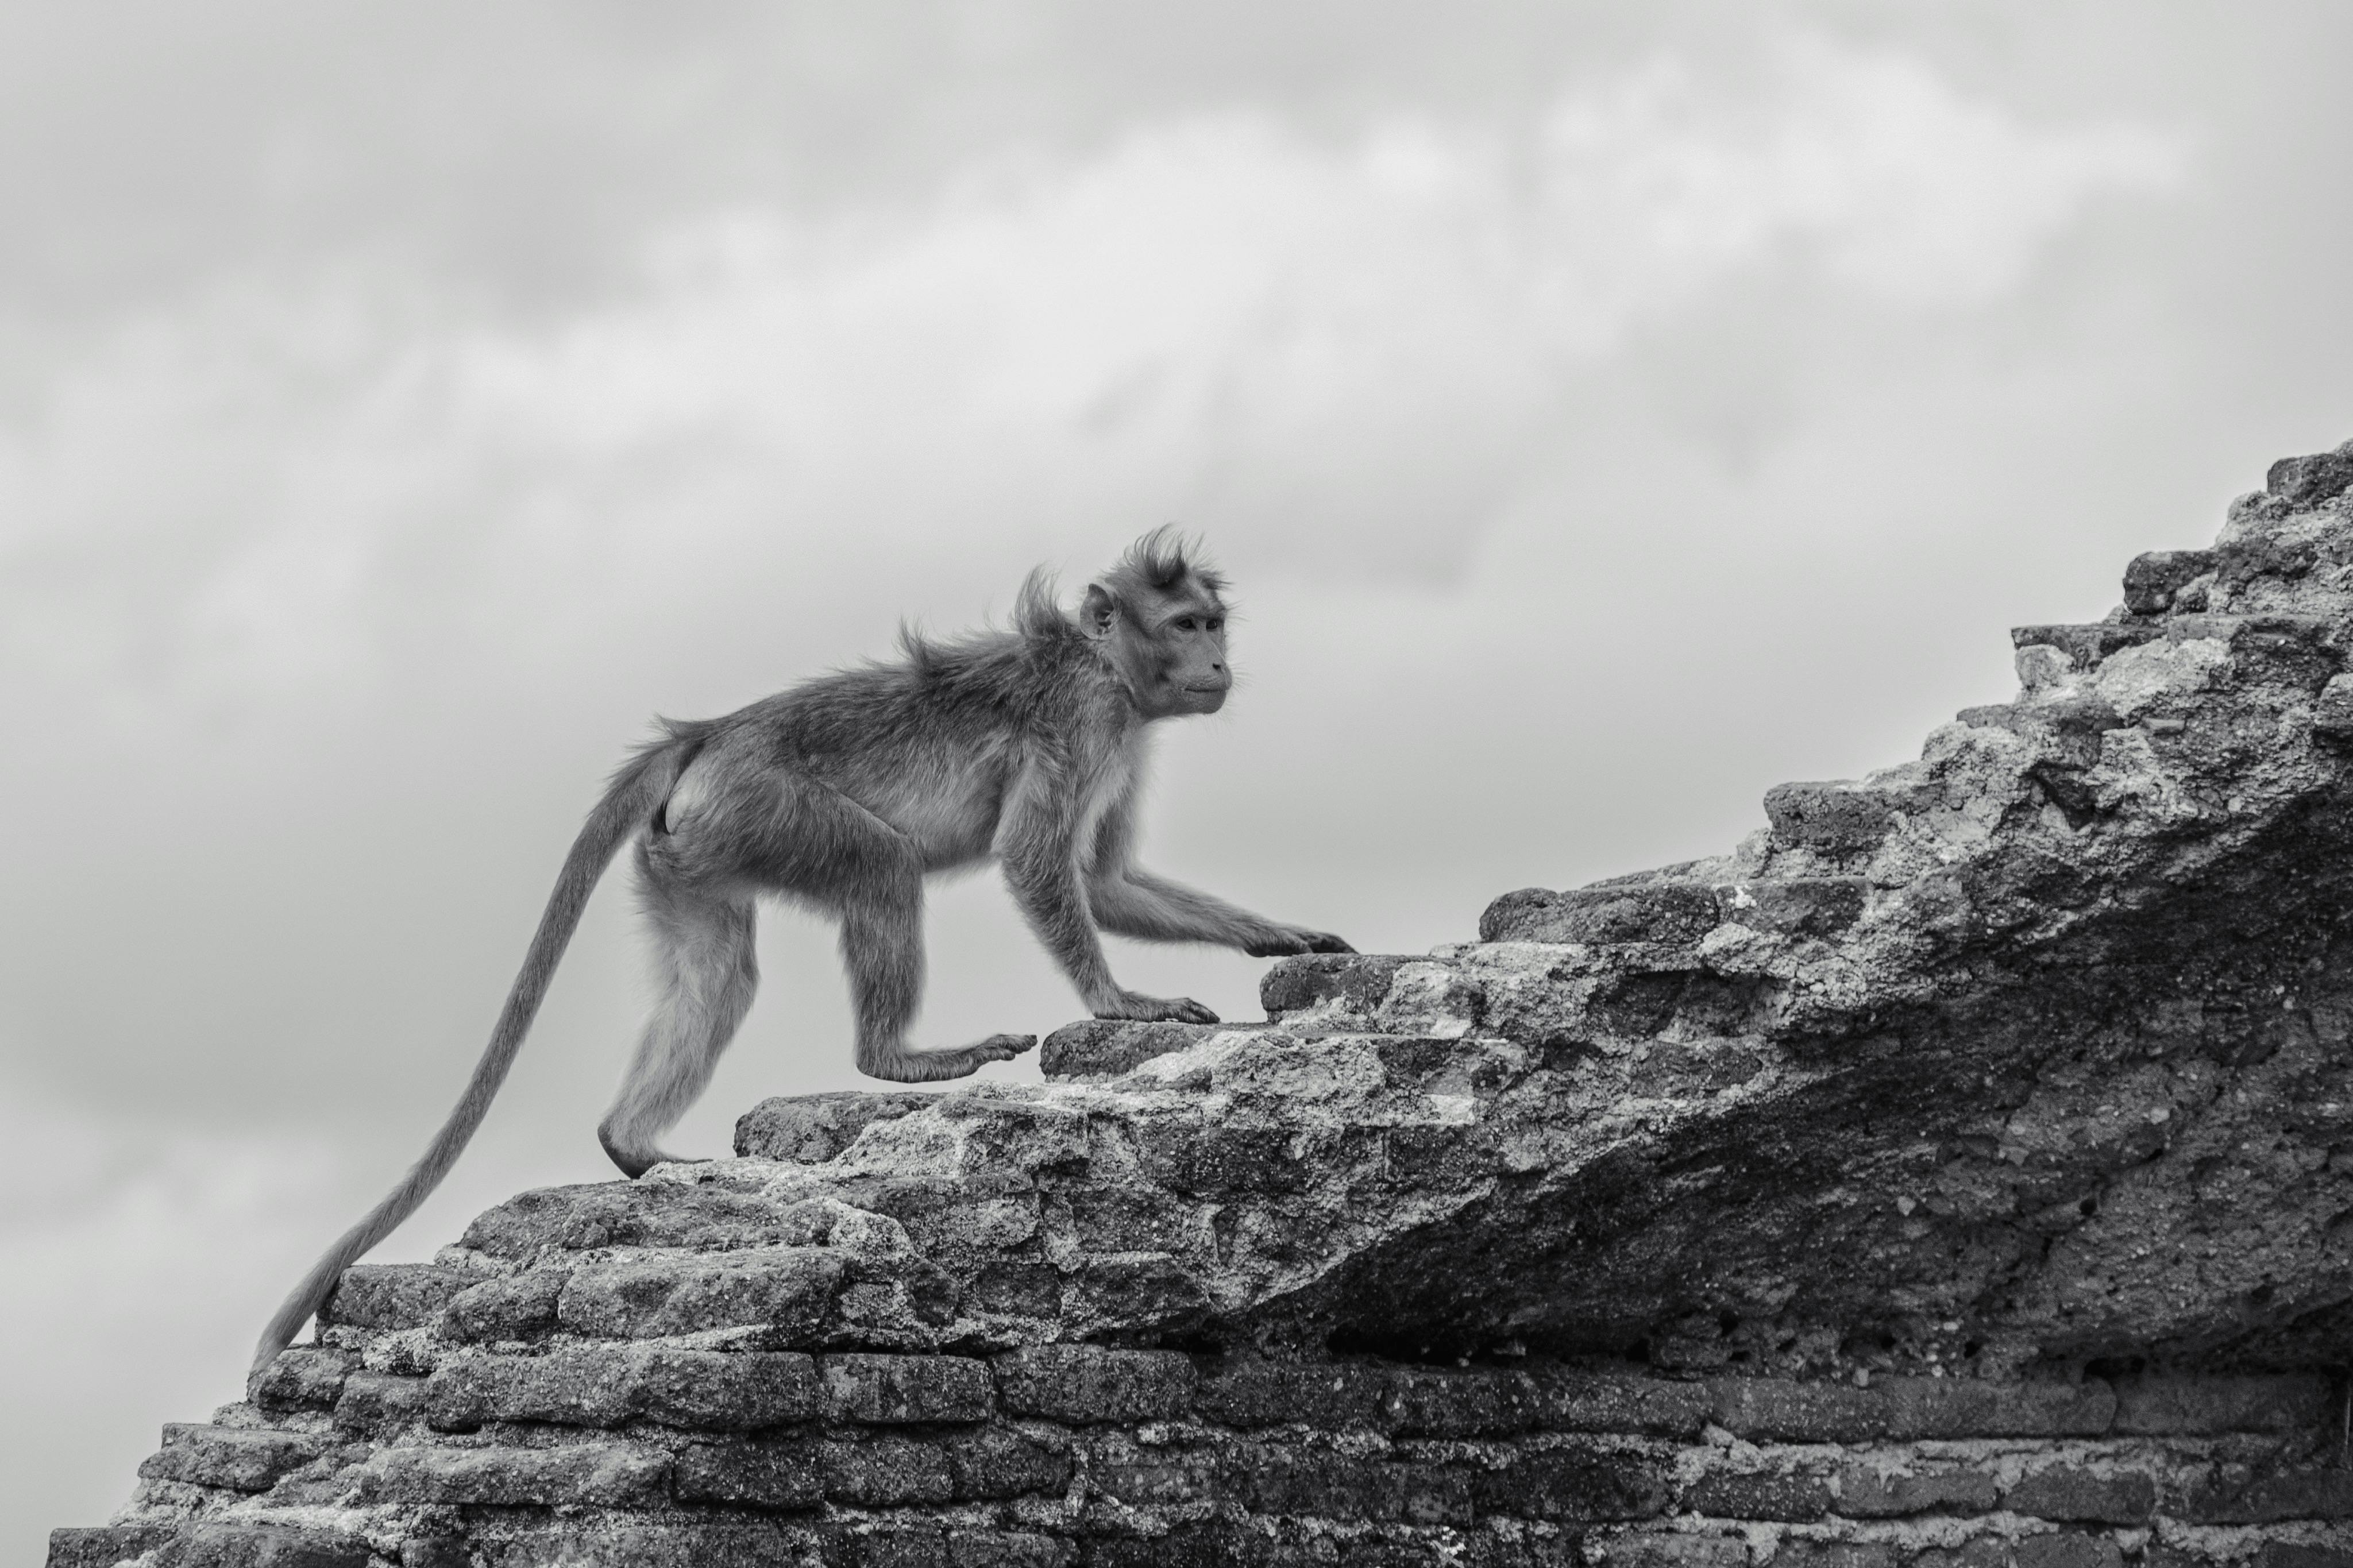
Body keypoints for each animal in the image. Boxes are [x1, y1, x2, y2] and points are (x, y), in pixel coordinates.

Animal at [253, 530, 1352, 1371]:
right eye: (1186, 625)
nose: (1219, 666)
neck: (1106, 667)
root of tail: (707, 733)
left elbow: (1111, 881)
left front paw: (1275, 933)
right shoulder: (1083, 722)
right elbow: (1041, 864)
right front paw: (1121, 1003)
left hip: (690, 849)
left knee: (720, 978)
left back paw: (632, 1143)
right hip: (762, 807)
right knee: (884, 869)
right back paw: (898, 1058)